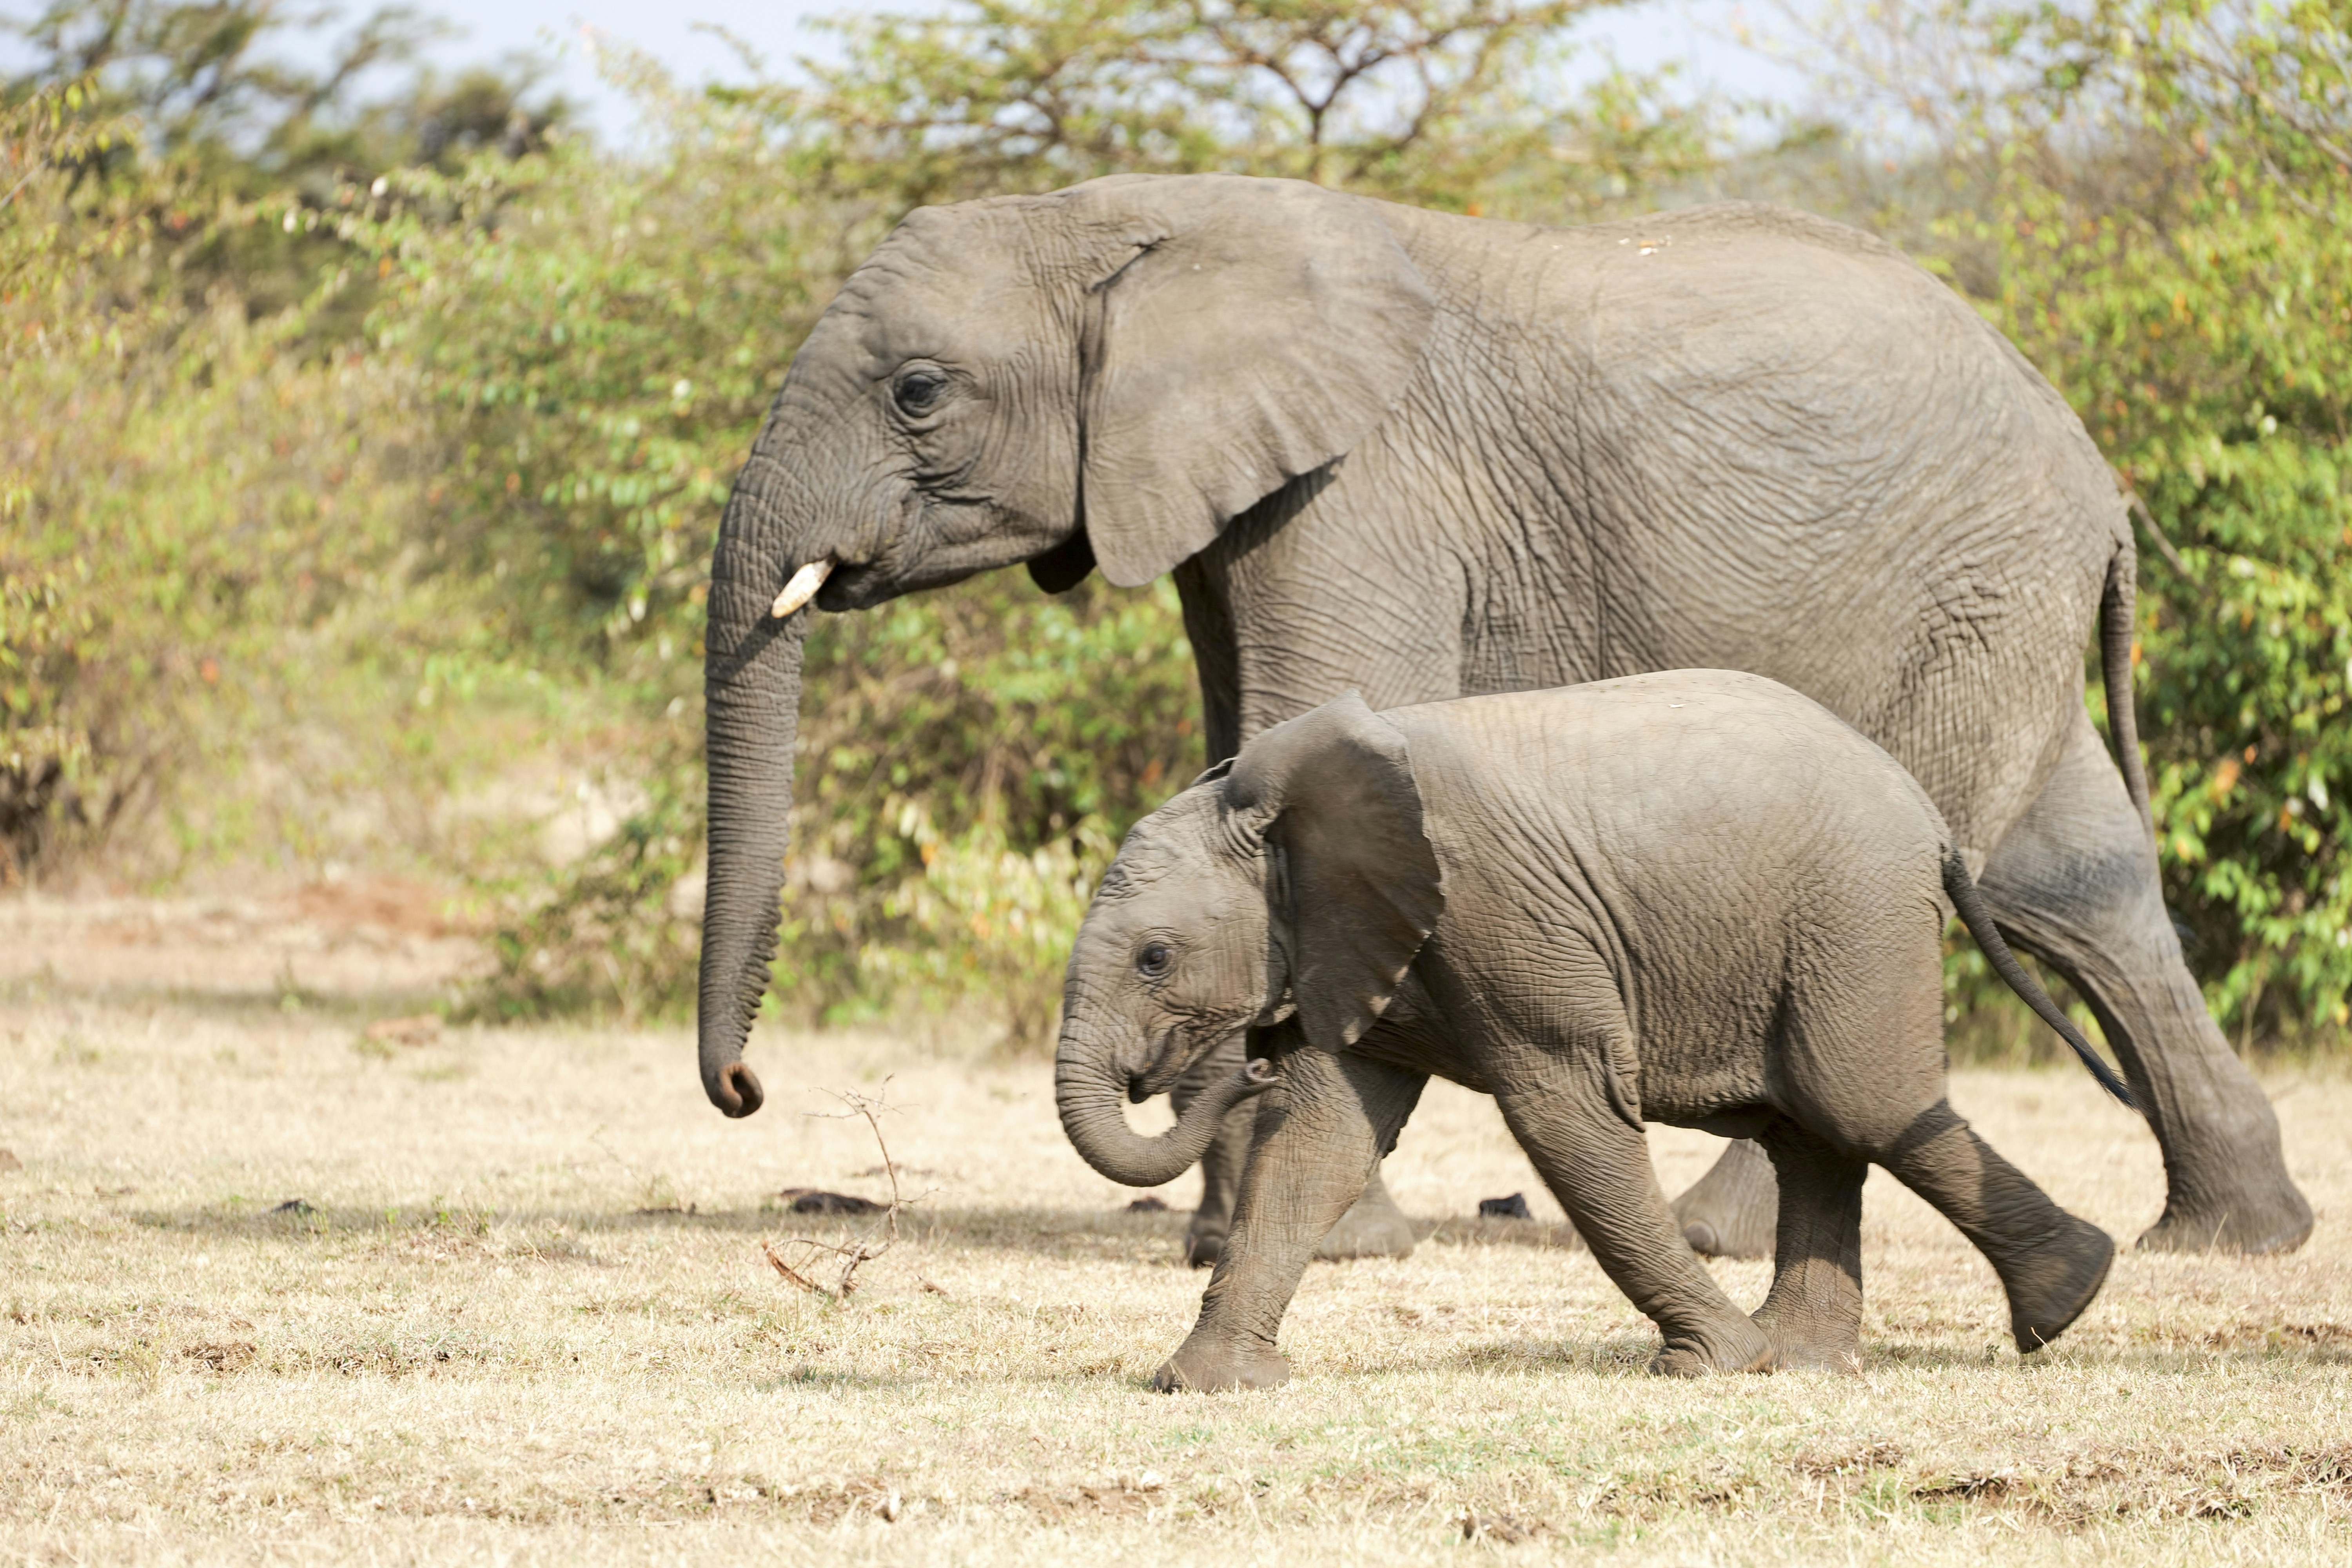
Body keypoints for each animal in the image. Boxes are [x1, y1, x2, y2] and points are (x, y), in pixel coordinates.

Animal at [694, 170, 2311, 1265]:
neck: (1131, 214)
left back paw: (1730, 1227)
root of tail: (2096, 472)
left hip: (1963, 592)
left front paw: (1323, 1237)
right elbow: (1244, 750)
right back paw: (2233, 1236)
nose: (747, 1088)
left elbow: (1311, 725)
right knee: (2073, 876)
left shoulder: (1366, 489)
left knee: (1935, 869)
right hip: (1995, 606)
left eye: (918, 392)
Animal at [1054, 674, 2126, 1390]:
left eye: (1153, 958)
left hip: (1855, 914)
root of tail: (1930, 818)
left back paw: (2065, 1296)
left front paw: (1716, 1364)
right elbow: (1324, 1141)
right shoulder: (1359, 933)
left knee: (1860, 1102)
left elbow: (1566, 1111)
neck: (1282, 795)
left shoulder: (1495, 907)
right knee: (1814, 1129)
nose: (1245, 1065)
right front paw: (1207, 1383)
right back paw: (1807, 1360)